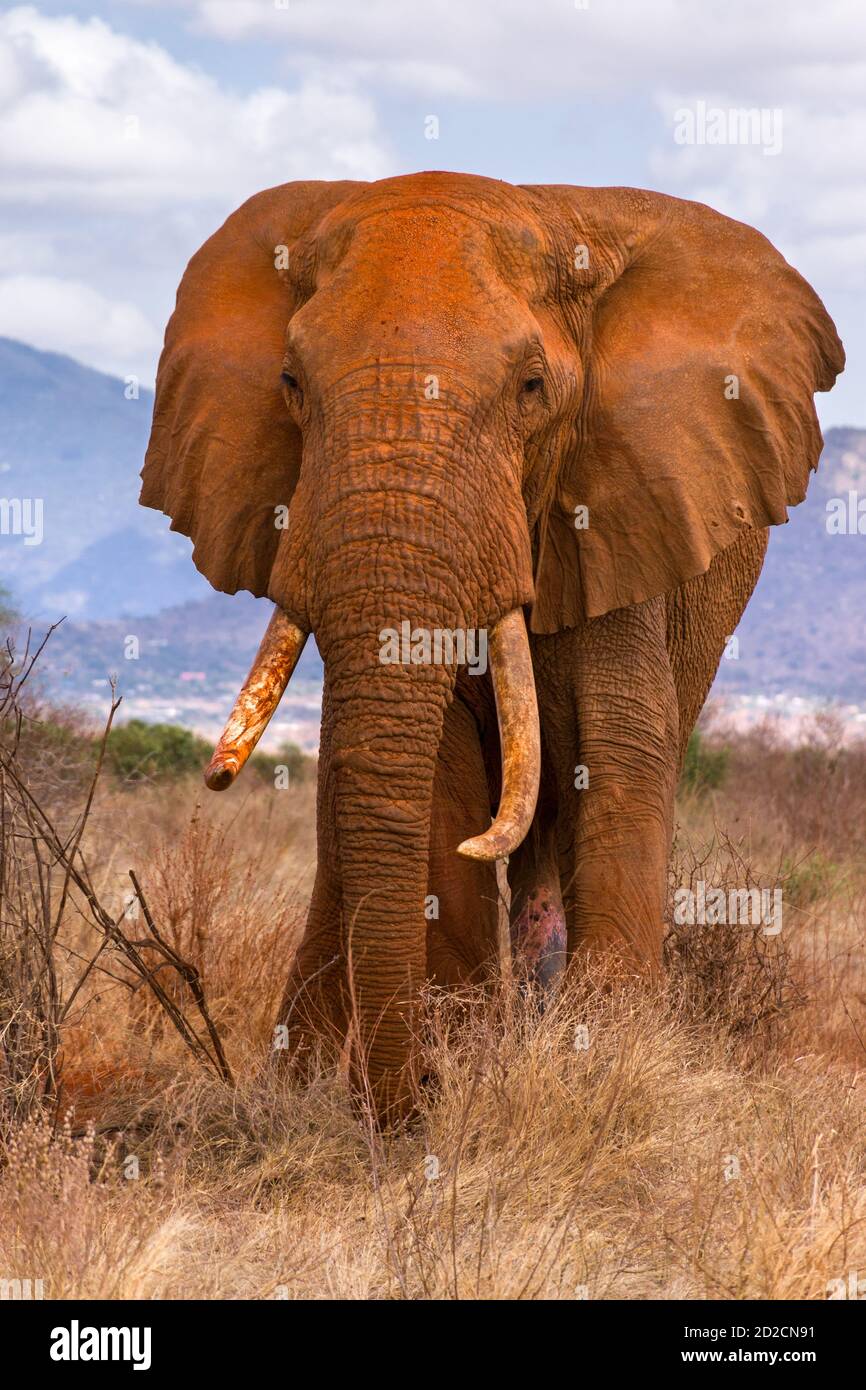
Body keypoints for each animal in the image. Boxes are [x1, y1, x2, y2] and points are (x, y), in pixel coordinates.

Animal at [140, 171, 843, 1121]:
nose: (410, 1097)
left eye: (532, 388)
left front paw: (602, 1064)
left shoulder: (619, 508)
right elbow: (443, 767)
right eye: (289, 381)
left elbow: (621, 745)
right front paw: (459, 1064)